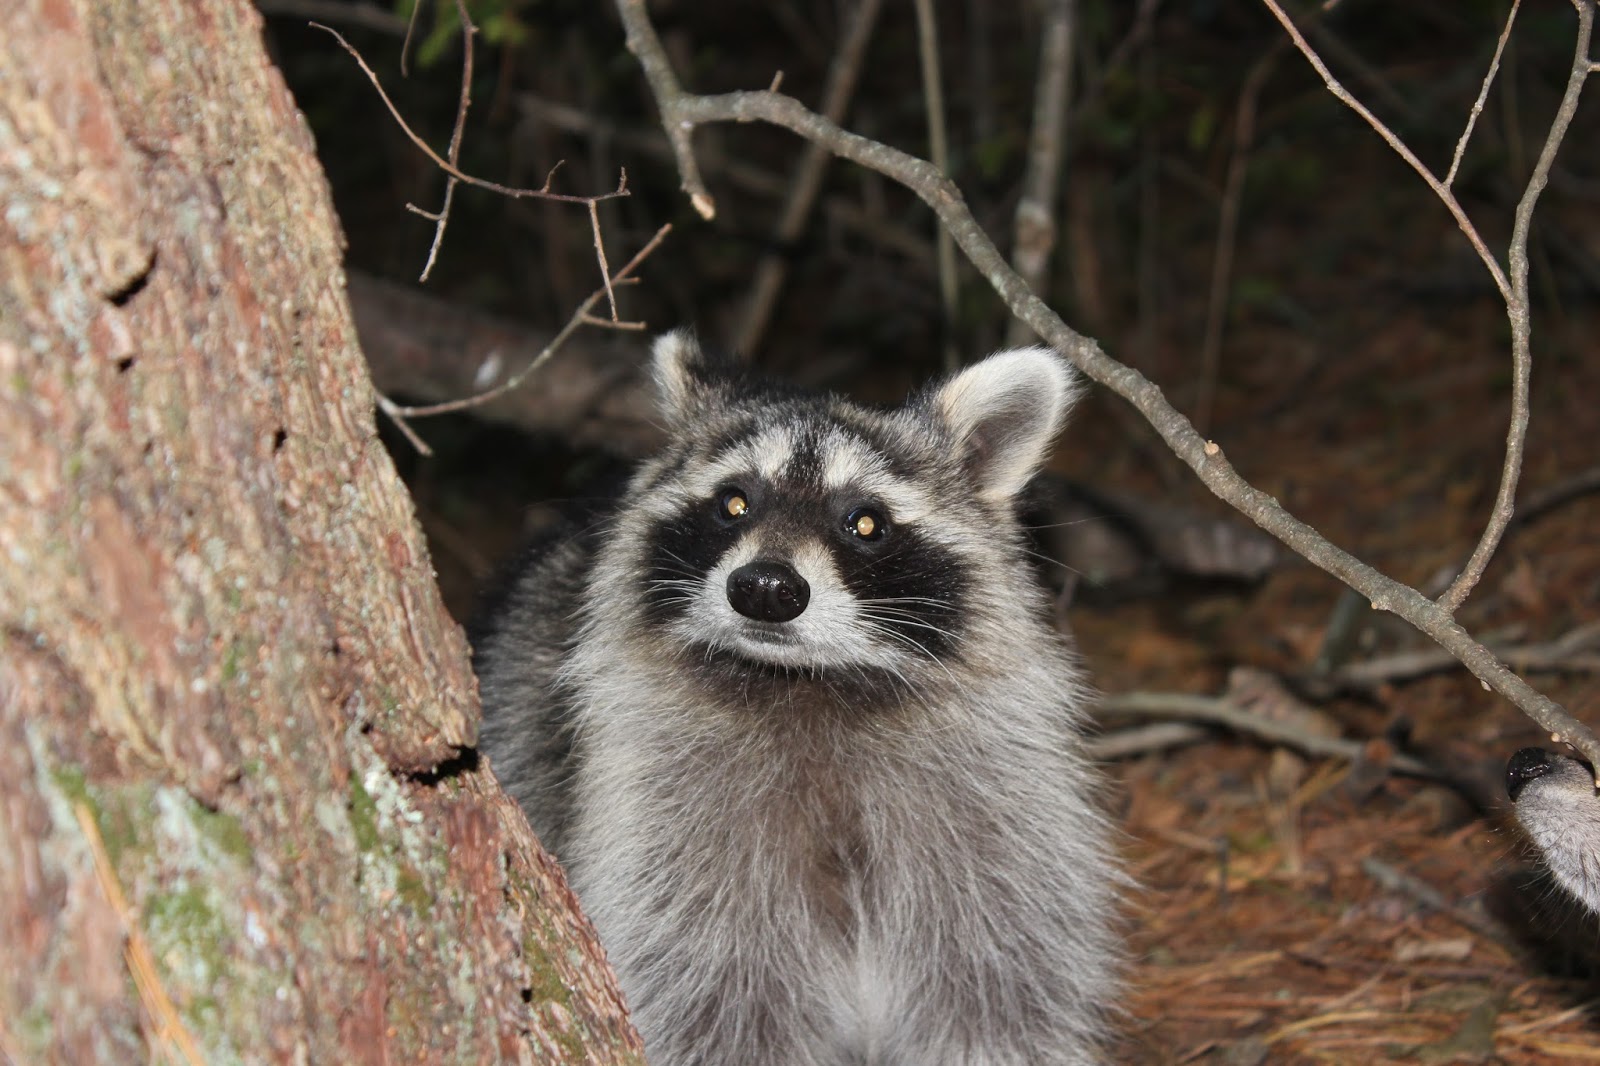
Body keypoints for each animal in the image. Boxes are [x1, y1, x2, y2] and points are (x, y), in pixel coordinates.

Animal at [474, 332, 1122, 1065]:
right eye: (734, 503)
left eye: (864, 522)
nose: (764, 588)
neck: (809, 684)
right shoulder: (666, 832)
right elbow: (711, 997)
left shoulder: (998, 825)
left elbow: (996, 994)